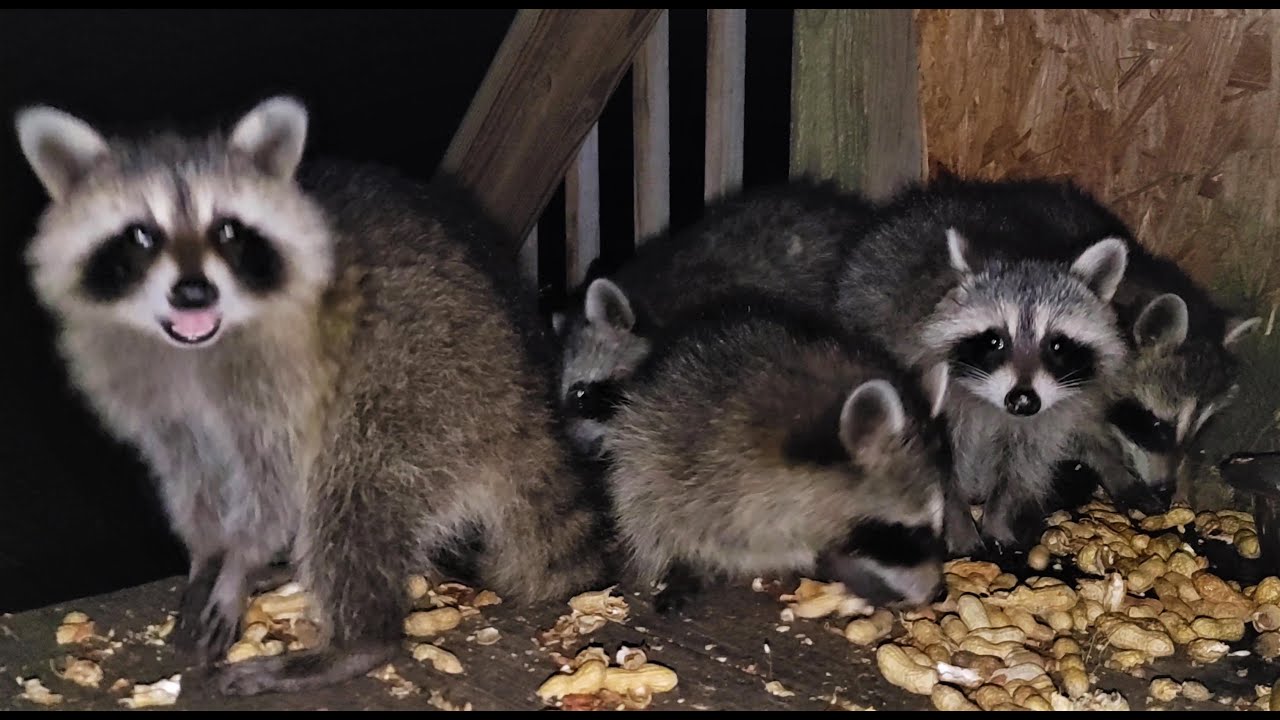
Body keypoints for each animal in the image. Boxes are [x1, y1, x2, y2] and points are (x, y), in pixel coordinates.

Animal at [16, 97, 604, 695]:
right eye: (141, 236)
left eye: (227, 230)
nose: (193, 292)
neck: (195, 342)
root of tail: (524, 397)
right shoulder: (148, 391)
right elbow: (188, 473)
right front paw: (208, 555)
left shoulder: (293, 376)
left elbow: (274, 482)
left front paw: (238, 564)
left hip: (425, 387)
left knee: (351, 492)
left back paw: (355, 643)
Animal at [836, 184, 1130, 552]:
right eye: (994, 341)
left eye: (1057, 345)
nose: (1022, 400)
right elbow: (942, 468)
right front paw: (959, 524)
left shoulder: (1050, 412)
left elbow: (1024, 463)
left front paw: (1000, 518)